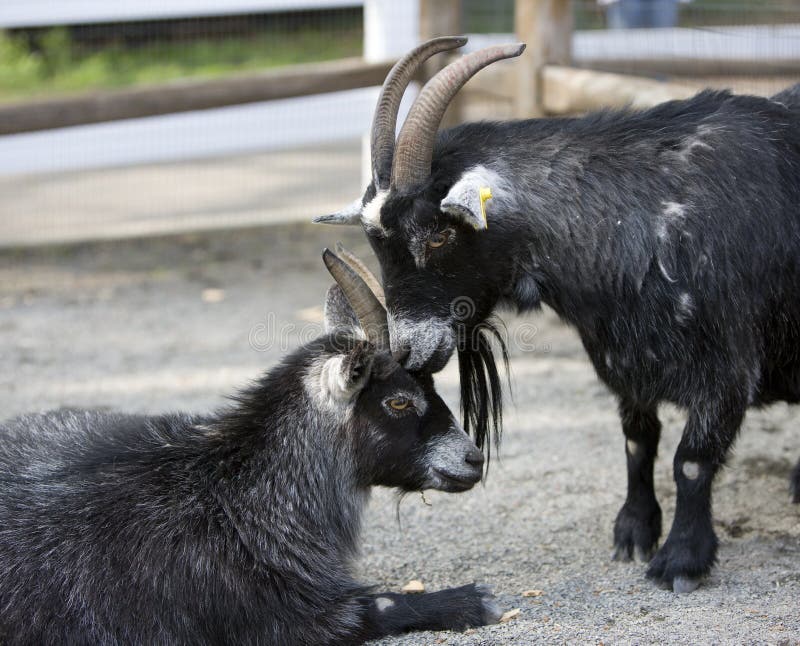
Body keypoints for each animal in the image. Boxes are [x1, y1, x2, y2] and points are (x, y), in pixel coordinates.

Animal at [0, 248, 501, 644]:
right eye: (399, 400)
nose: (473, 458)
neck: (238, 496)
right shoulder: (287, 614)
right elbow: (375, 607)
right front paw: (472, 600)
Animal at [315, 37, 800, 593]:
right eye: (375, 243)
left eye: (437, 234)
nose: (408, 350)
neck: (640, 218)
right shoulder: (625, 362)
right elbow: (638, 443)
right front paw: (634, 531)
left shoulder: (726, 368)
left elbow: (691, 462)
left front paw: (681, 560)